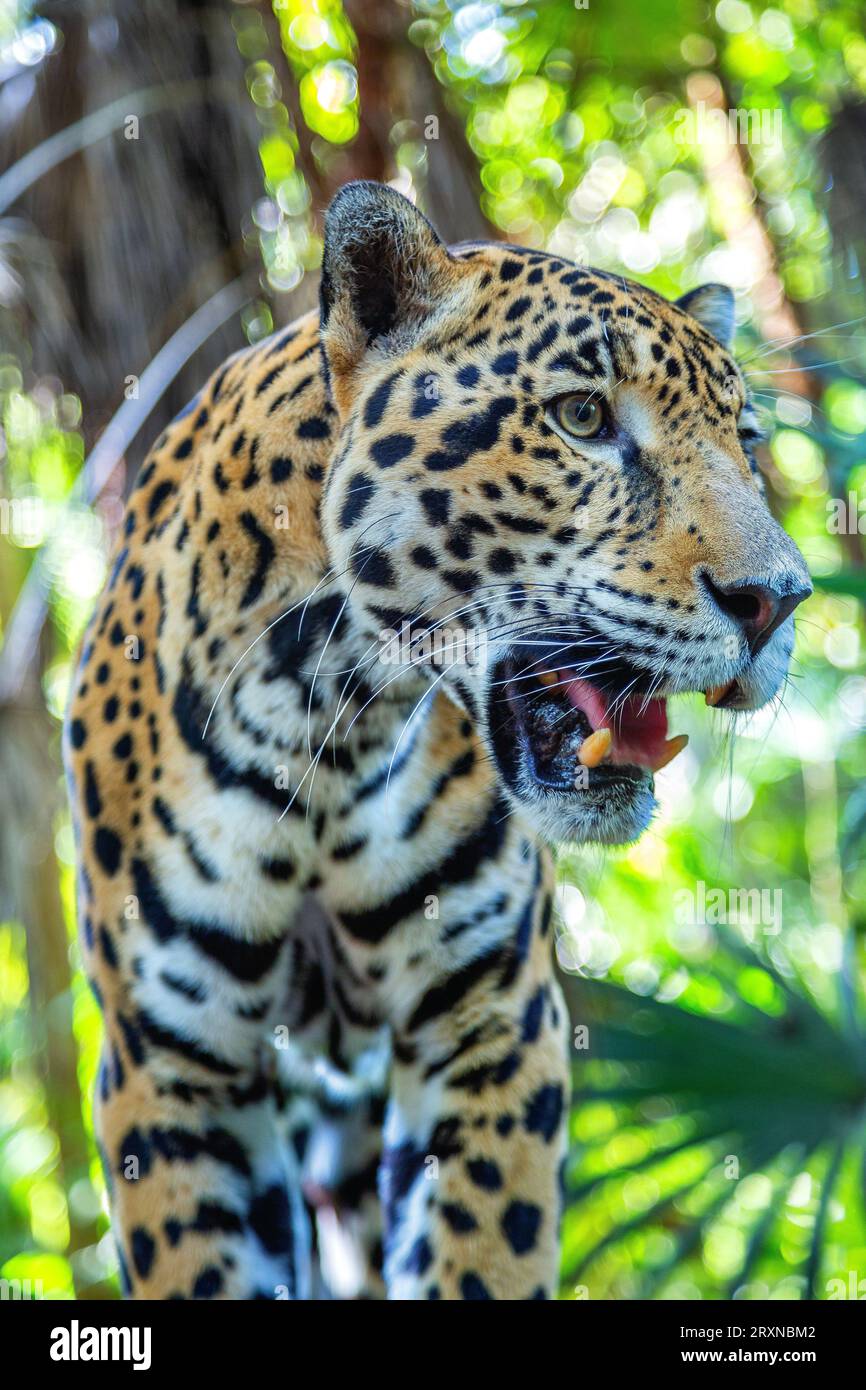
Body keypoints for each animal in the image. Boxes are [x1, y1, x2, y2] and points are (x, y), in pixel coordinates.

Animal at [64, 180, 811, 1300]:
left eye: (748, 446)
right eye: (583, 417)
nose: (780, 600)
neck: (327, 725)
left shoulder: (489, 1023)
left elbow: (482, 1252)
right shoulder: (176, 1073)